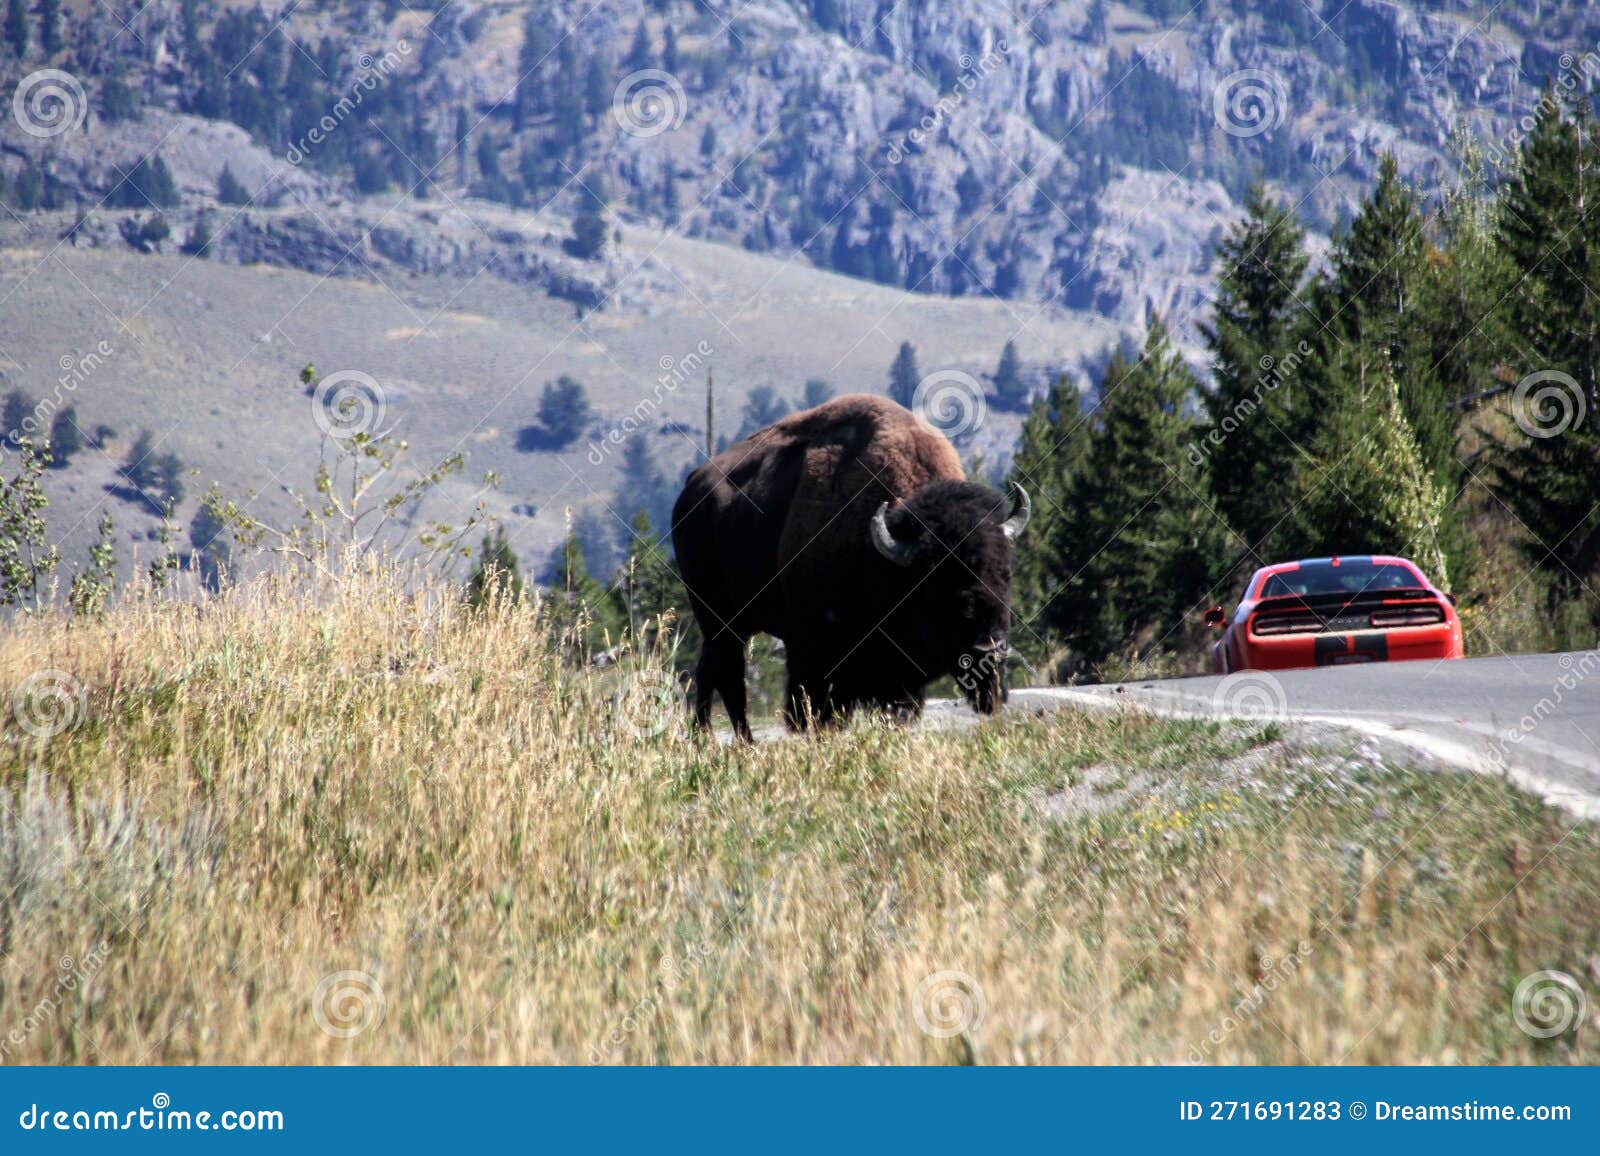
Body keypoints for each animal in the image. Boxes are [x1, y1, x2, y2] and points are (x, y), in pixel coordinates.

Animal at [671, 393, 1029, 738]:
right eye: (938, 581)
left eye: (1007, 575)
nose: (987, 650)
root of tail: (692, 485)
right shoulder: (812, 650)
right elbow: (813, 706)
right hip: (718, 619)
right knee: (726, 674)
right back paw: (732, 742)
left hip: (733, 624)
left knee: (713, 671)